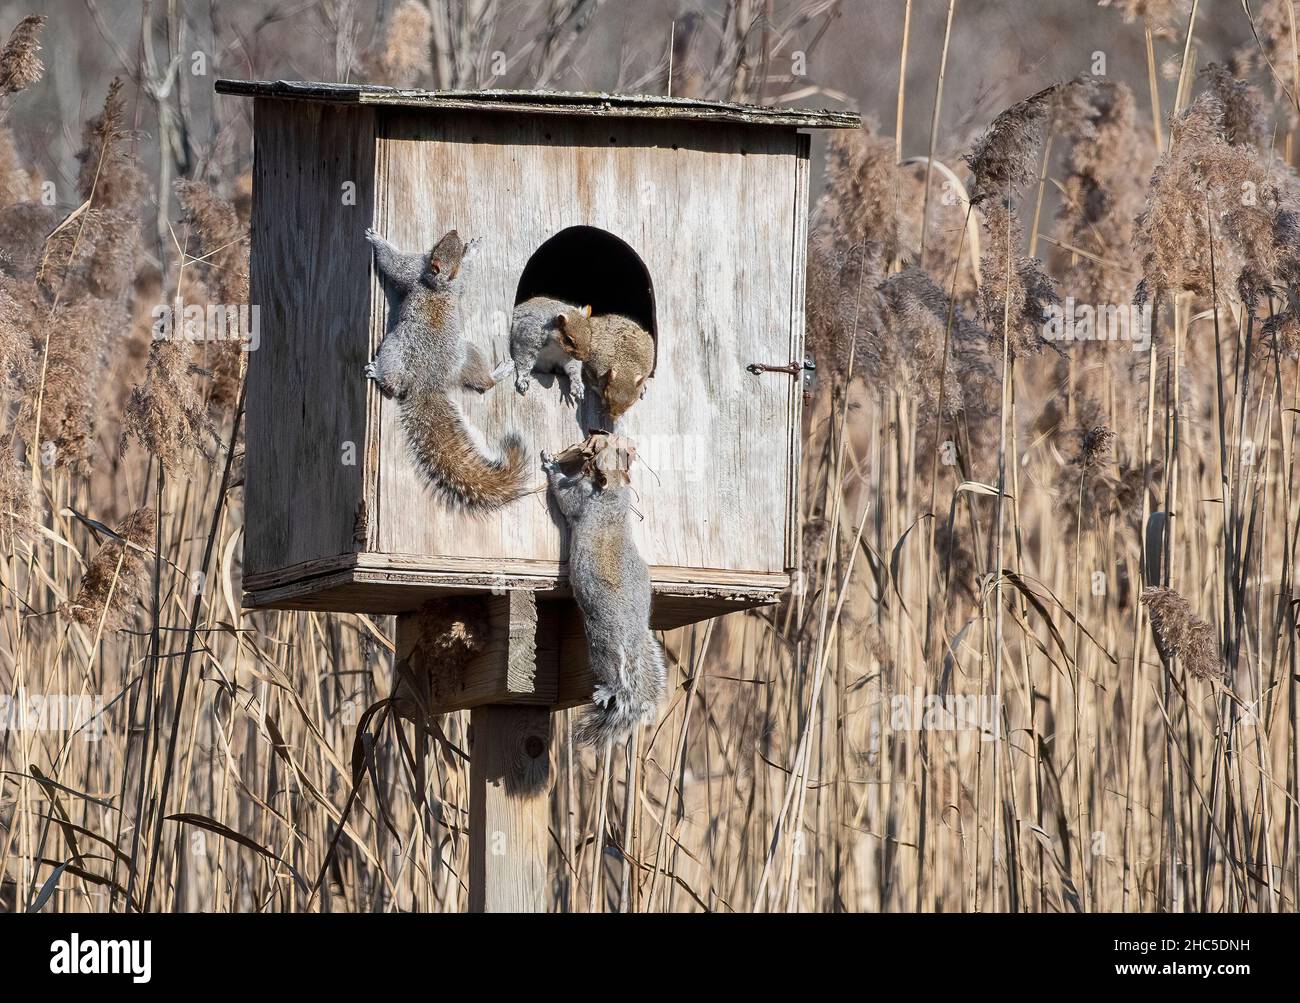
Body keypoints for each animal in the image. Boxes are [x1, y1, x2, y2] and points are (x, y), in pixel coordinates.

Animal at [364, 228, 527, 512]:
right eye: (445, 242)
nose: (454, 230)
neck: (440, 285)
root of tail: (427, 384)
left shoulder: (414, 272)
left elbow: (394, 264)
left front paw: (376, 239)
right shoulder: (452, 282)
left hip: (396, 349)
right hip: (467, 358)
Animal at [542, 434, 666, 746]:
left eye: (598, 458)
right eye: (620, 454)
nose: (603, 437)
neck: (613, 495)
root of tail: (632, 634)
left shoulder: (582, 499)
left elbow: (564, 498)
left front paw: (551, 466)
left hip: (602, 641)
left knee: (614, 673)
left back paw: (609, 689)